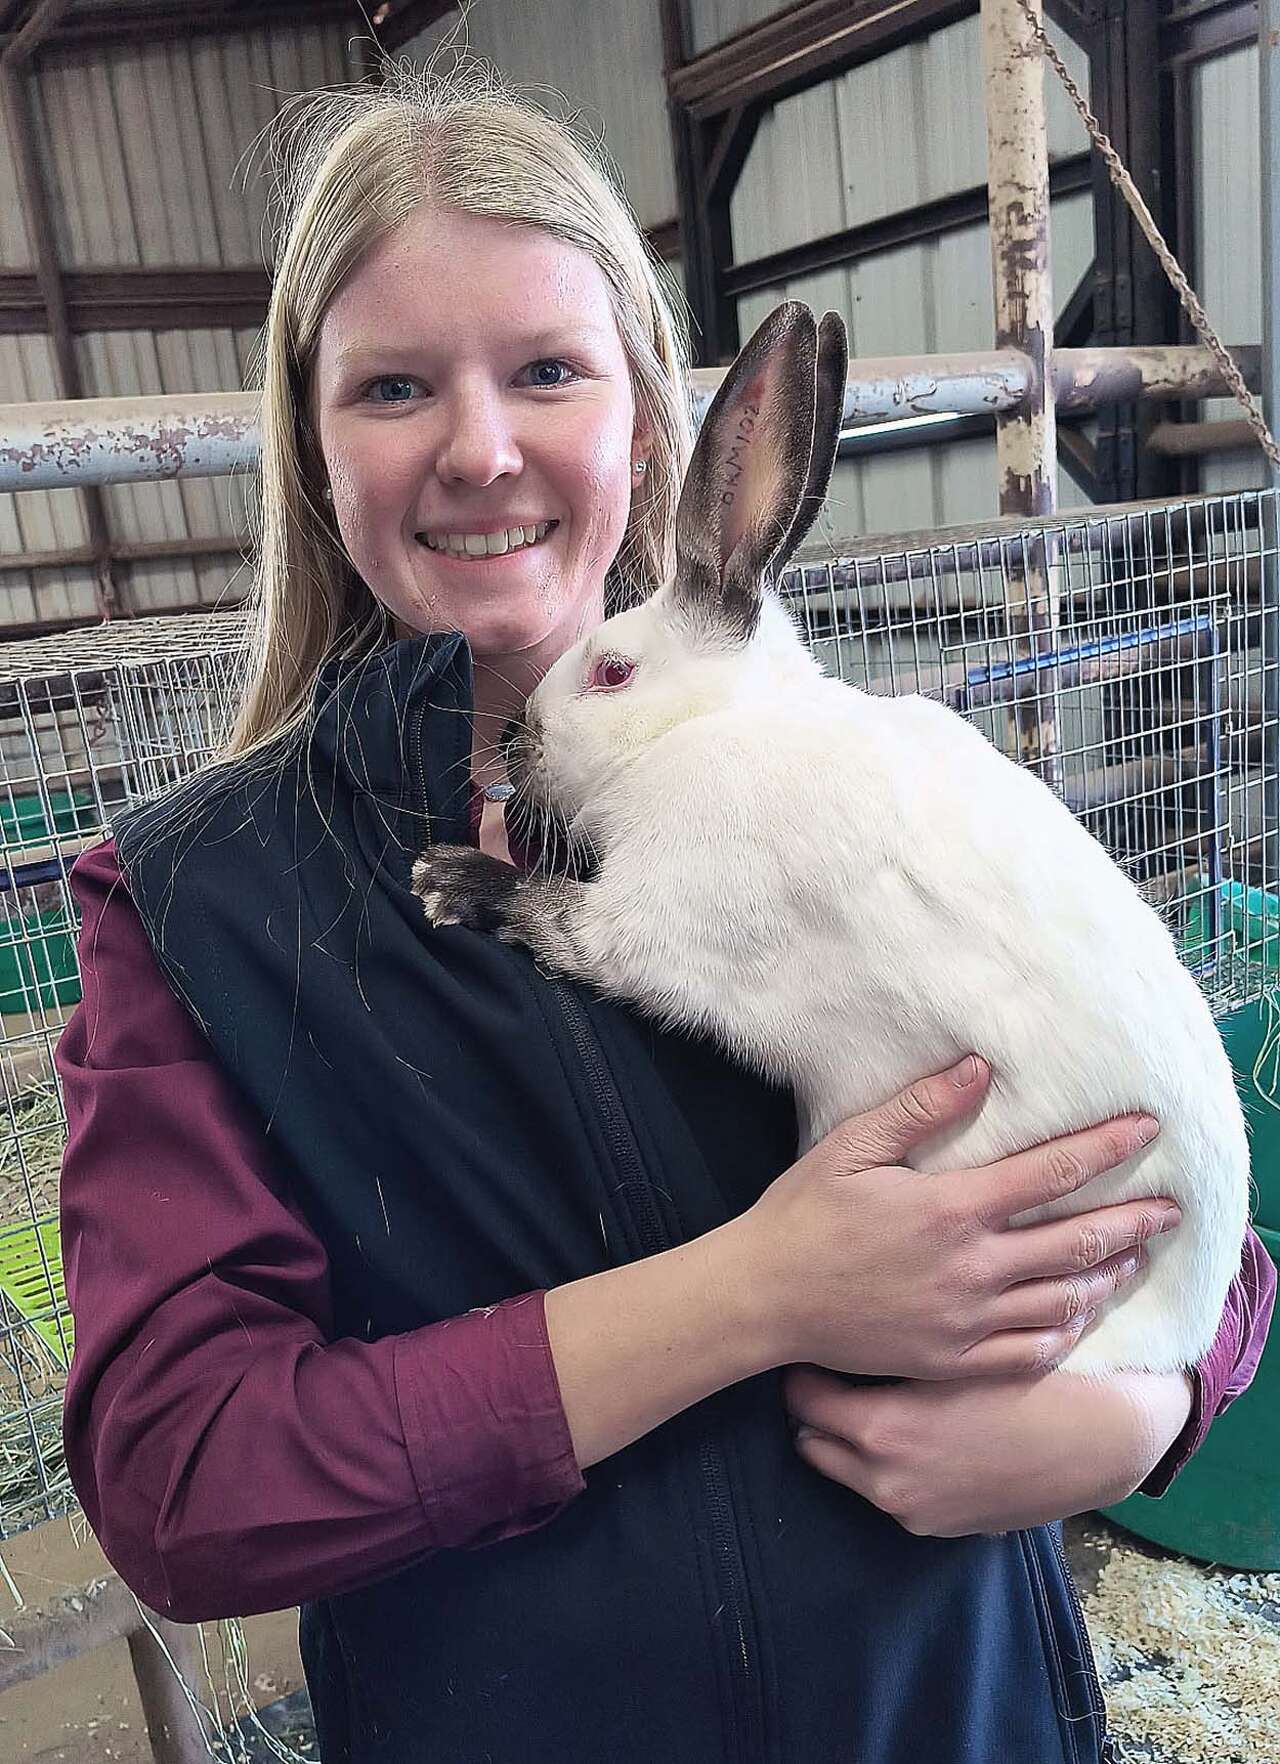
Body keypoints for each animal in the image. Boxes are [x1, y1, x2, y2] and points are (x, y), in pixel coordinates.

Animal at [412, 300, 1250, 1378]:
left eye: (610, 671)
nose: (516, 738)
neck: (712, 727)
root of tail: (1177, 1326)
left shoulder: (650, 924)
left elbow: (555, 919)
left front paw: (446, 881)